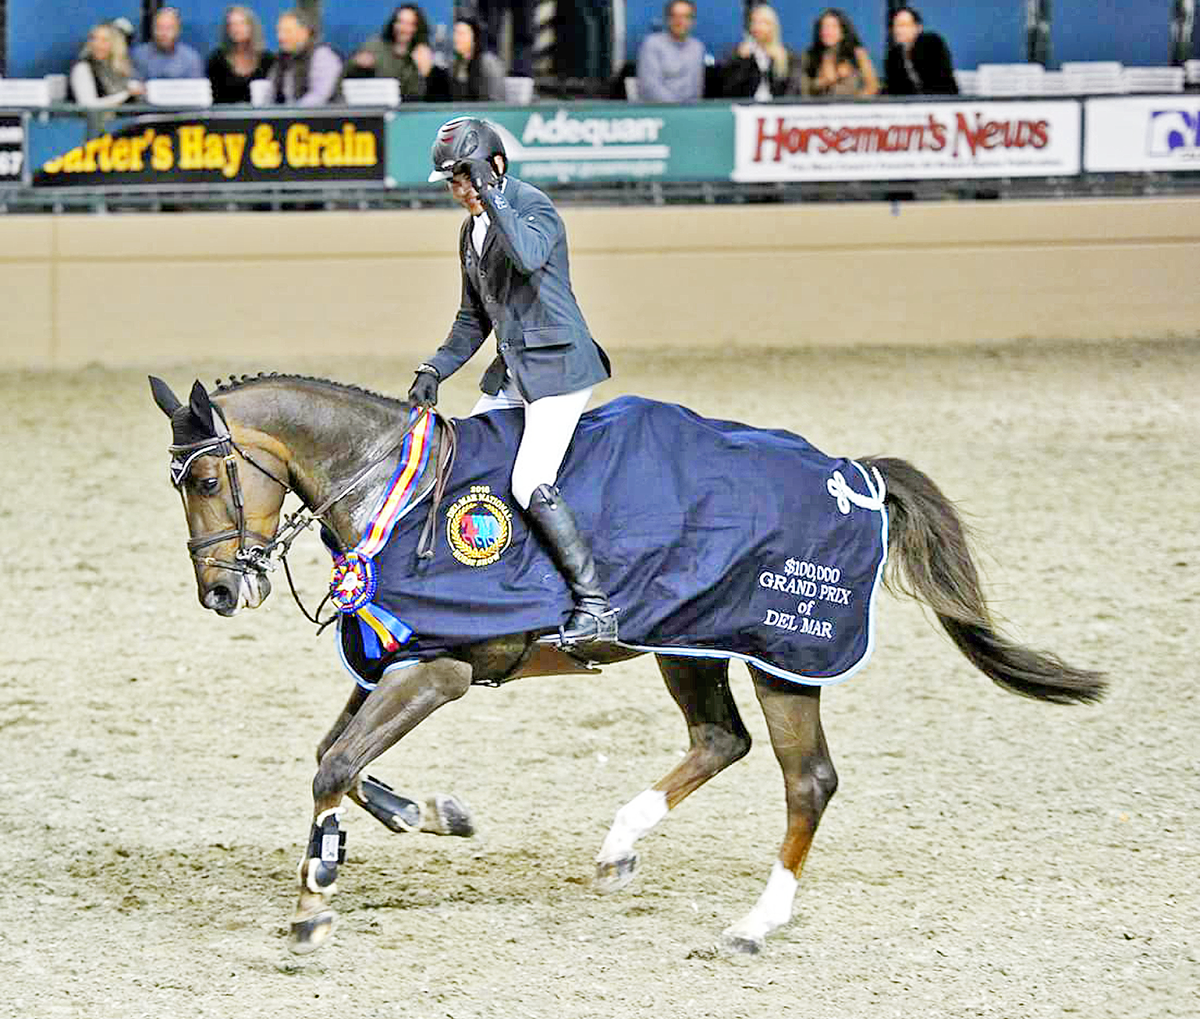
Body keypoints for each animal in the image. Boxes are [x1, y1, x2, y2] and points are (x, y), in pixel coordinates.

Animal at [149, 372, 1106, 956]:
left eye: (208, 481)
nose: (219, 592)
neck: (393, 484)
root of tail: (852, 474)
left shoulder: (440, 669)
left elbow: (336, 766)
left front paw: (314, 901)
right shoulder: (387, 659)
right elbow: (335, 762)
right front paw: (426, 817)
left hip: (785, 654)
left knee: (807, 779)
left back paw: (757, 922)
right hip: (692, 643)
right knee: (721, 741)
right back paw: (619, 846)